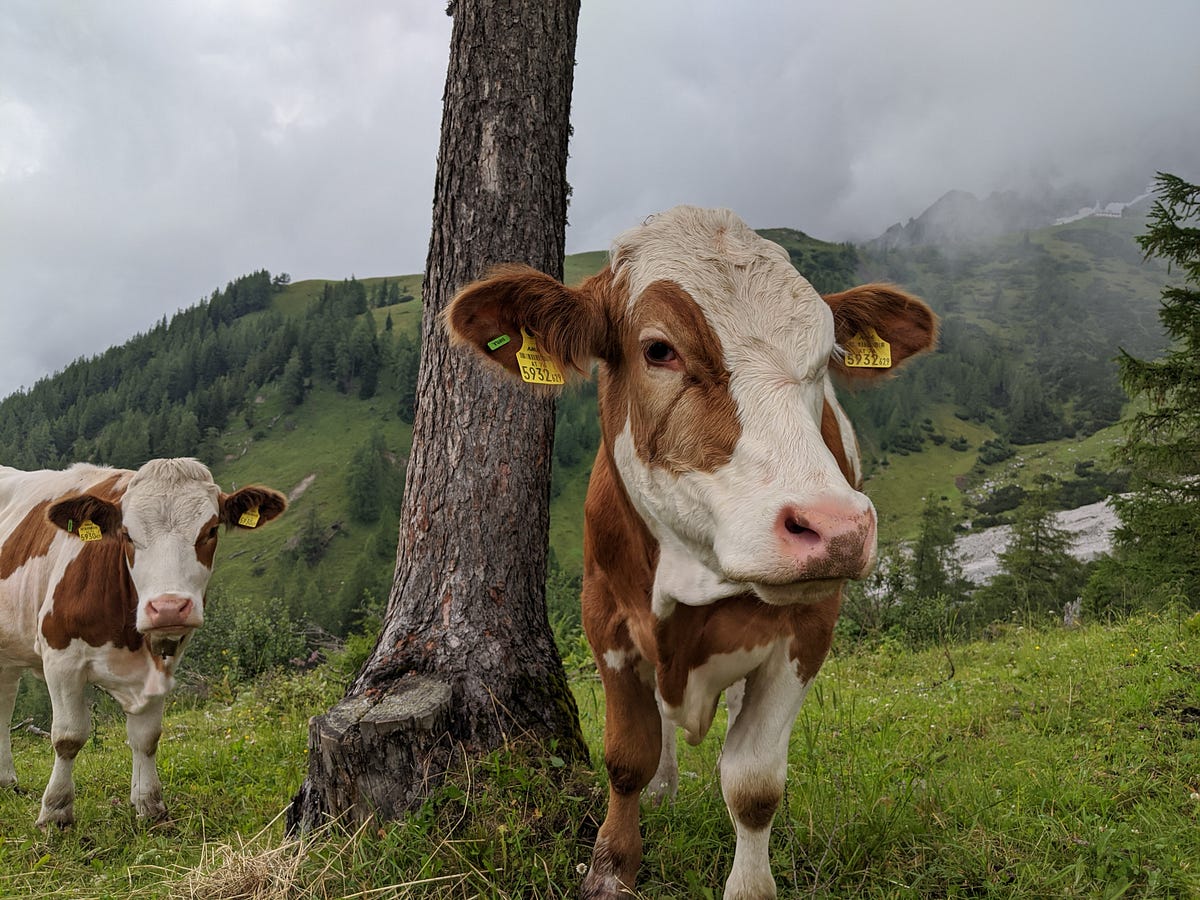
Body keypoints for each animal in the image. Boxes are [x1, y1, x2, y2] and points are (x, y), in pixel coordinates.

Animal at [0, 458, 286, 827]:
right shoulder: (60, 658)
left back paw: (5, 780)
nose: (168, 607)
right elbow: (68, 736)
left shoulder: (165, 659)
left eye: (210, 531)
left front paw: (150, 806)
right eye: (127, 534)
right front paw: (55, 811)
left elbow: (147, 737)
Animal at [446, 206, 937, 899]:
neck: (689, 577)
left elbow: (753, 782)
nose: (835, 526)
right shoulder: (604, 614)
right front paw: (611, 868)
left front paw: (749, 885)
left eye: (827, 356)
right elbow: (627, 756)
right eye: (659, 349)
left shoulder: (811, 626)